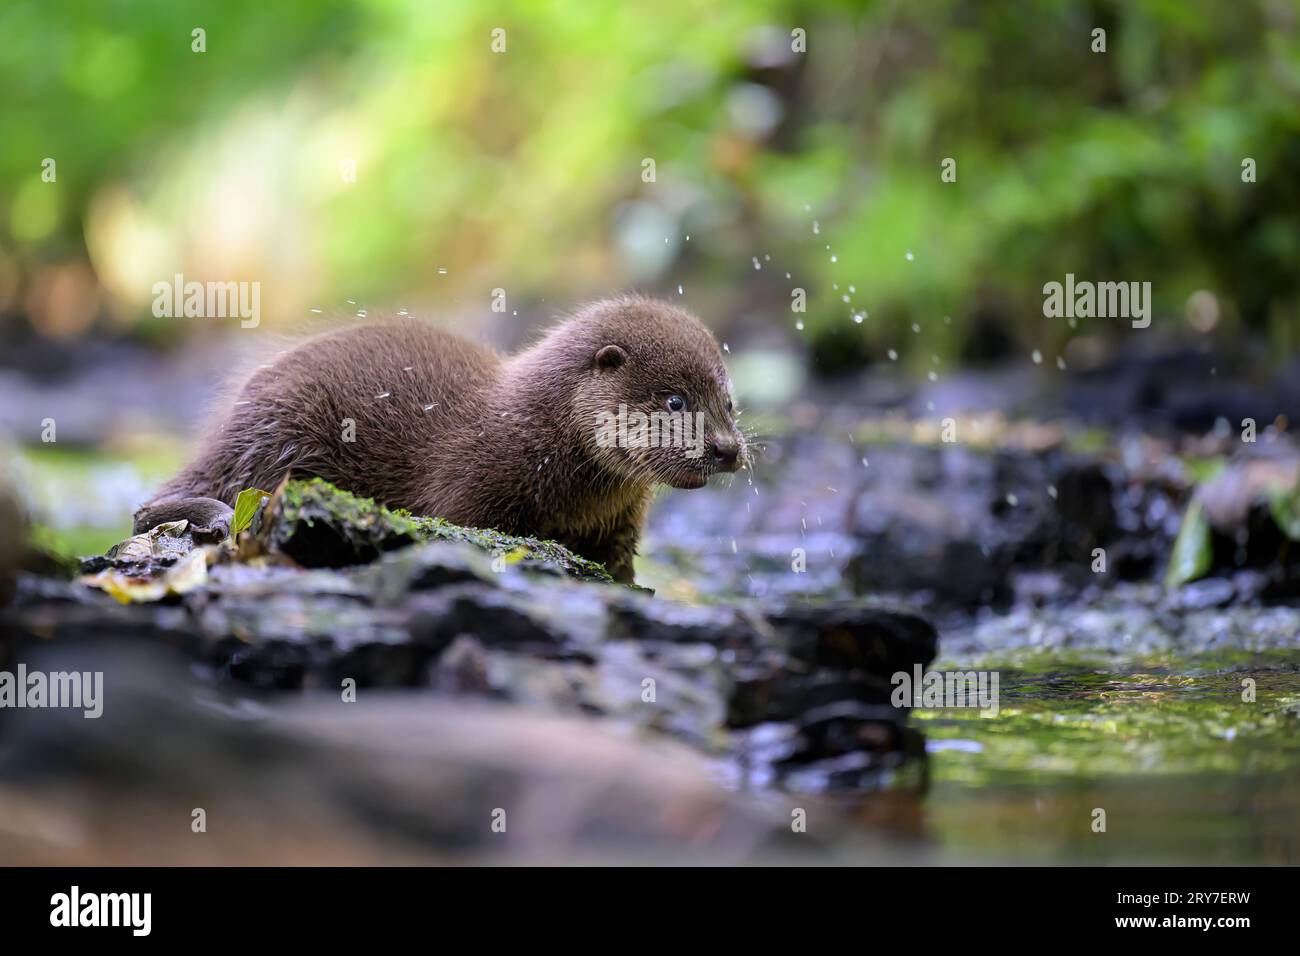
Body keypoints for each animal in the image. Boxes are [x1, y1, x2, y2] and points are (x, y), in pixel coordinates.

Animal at [134, 295, 746, 582]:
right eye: (675, 401)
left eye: (729, 401)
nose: (728, 449)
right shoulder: (472, 483)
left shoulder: (620, 522)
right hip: (278, 431)